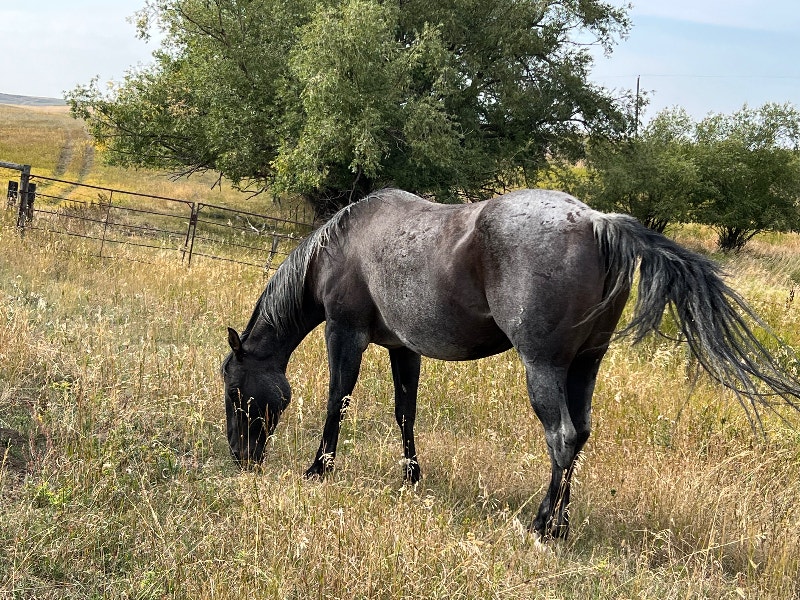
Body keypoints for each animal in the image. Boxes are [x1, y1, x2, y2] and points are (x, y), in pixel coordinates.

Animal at [221, 188, 800, 539]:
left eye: (233, 389)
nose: (241, 457)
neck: (341, 245)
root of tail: (598, 222)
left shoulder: (346, 334)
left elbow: (337, 402)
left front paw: (319, 468)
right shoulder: (403, 348)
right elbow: (405, 412)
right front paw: (411, 476)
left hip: (543, 366)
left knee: (561, 436)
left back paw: (543, 526)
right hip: (585, 365)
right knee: (581, 433)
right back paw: (561, 522)